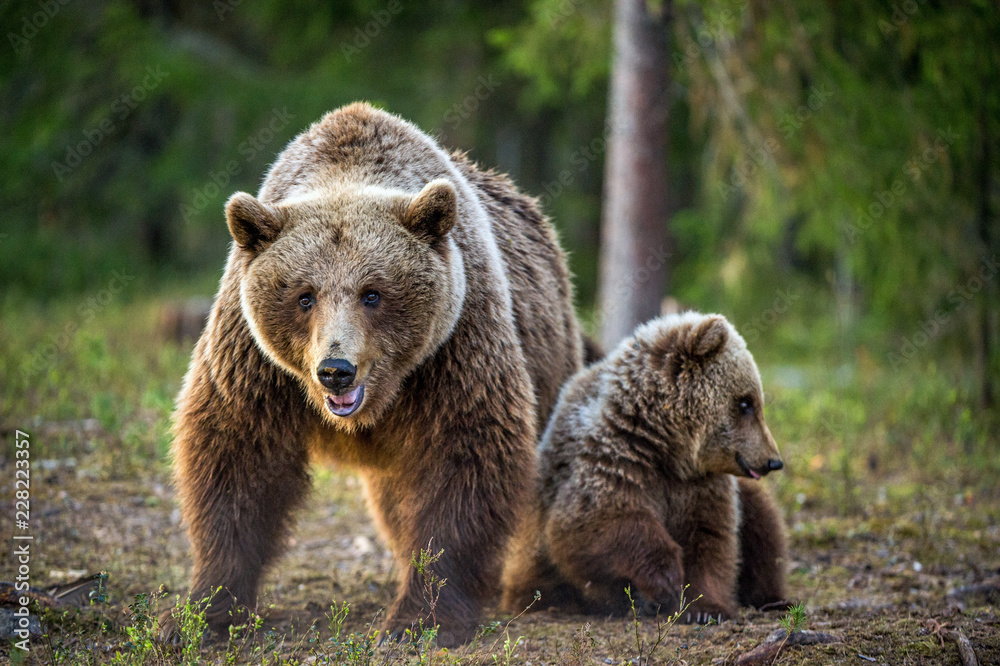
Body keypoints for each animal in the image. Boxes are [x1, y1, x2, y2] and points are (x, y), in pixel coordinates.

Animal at [163, 102, 584, 647]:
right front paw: (202, 611)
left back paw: (543, 587)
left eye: (373, 292)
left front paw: (420, 617)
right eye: (304, 294)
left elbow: (465, 461)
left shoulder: (455, 348)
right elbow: (235, 459)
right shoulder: (254, 362)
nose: (336, 371)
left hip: (551, 357)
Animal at [501, 312, 788, 623]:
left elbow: (710, 539)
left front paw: (705, 608)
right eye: (746, 402)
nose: (773, 460)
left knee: (763, 528)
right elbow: (592, 524)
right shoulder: (615, 460)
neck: (667, 449)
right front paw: (667, 580)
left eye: (754, 401)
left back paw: (774, 599)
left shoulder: (701, 486)